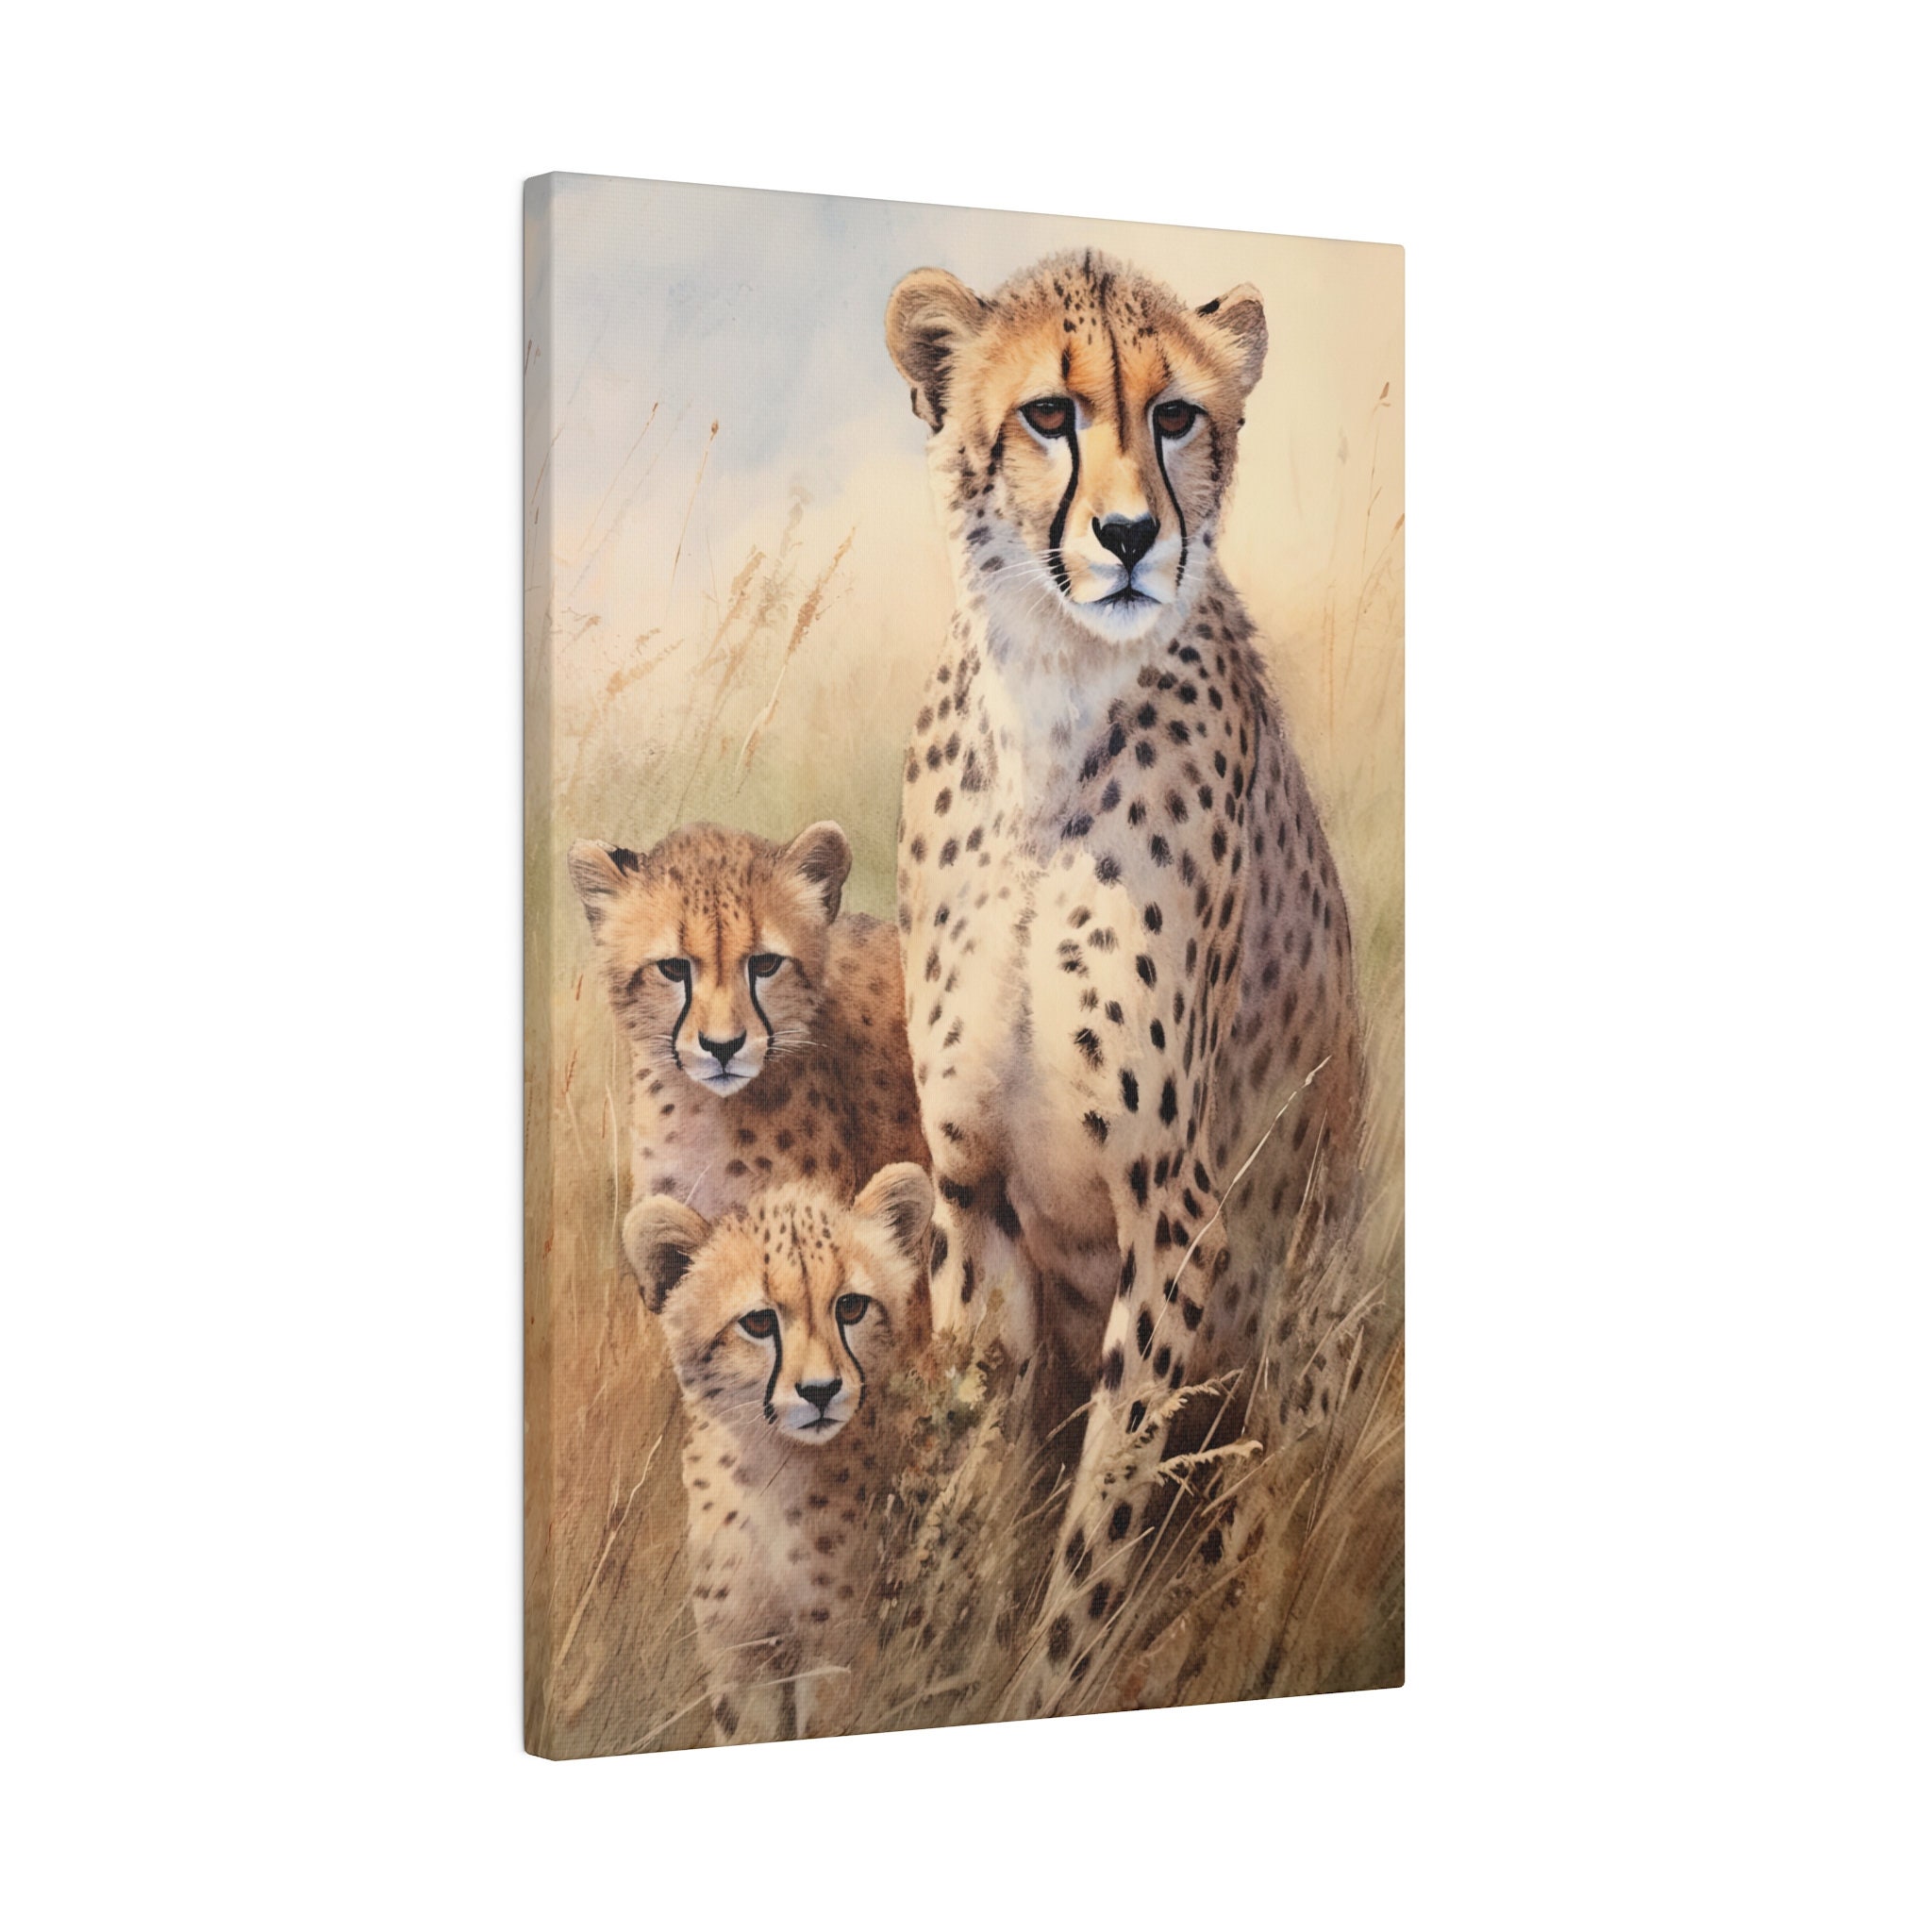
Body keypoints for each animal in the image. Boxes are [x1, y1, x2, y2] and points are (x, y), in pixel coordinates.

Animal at [624, 1164, 936, 1744]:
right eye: (759, 1322)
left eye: (851, 1307)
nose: (820, 1390)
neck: (772, 1472)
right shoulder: (740, 1654)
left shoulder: (837, 1649)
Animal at [884, 248, 1365, 1712]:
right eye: (1050, 414)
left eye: (1175, 418)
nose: (1131, 537)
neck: (1051, 700)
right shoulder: (972, 1194)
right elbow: (982, 1489)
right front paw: (948, 1672)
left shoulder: (1176, 1213)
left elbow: (1101, 1525)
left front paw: (1047, 1686)